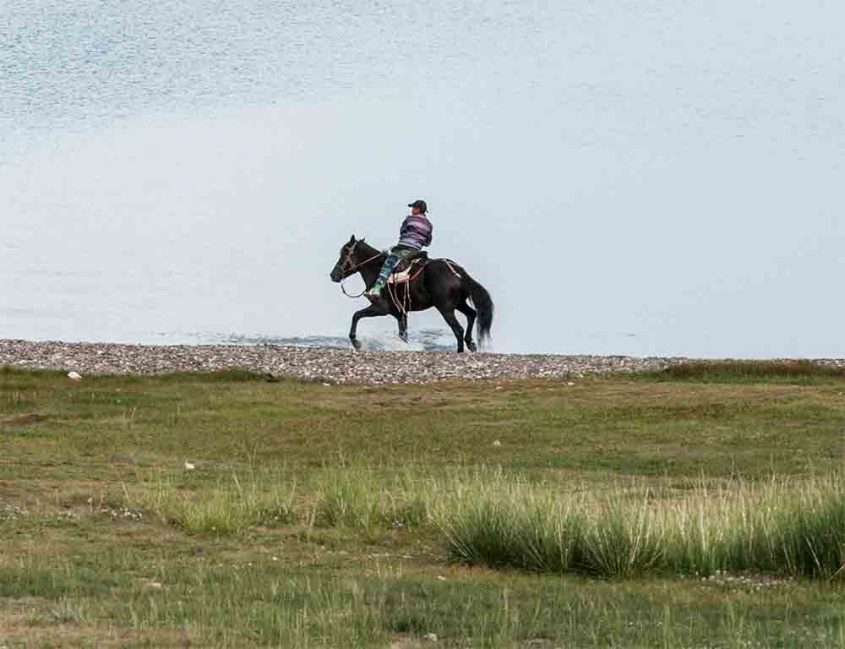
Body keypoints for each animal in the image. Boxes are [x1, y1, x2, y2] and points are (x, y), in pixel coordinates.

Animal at [329, 236, 494, 352]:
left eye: (345, 253)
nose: (333, 275)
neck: (375, 270)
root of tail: (456, 271)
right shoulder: (400, 314)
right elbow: (403, 335)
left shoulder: (381, 308)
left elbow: (356, 315)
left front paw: (356, 342)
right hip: (458, 303)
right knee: (472, 314)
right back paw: (471, 343)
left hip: (445, 308)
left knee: (458, 329)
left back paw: (460, 350)